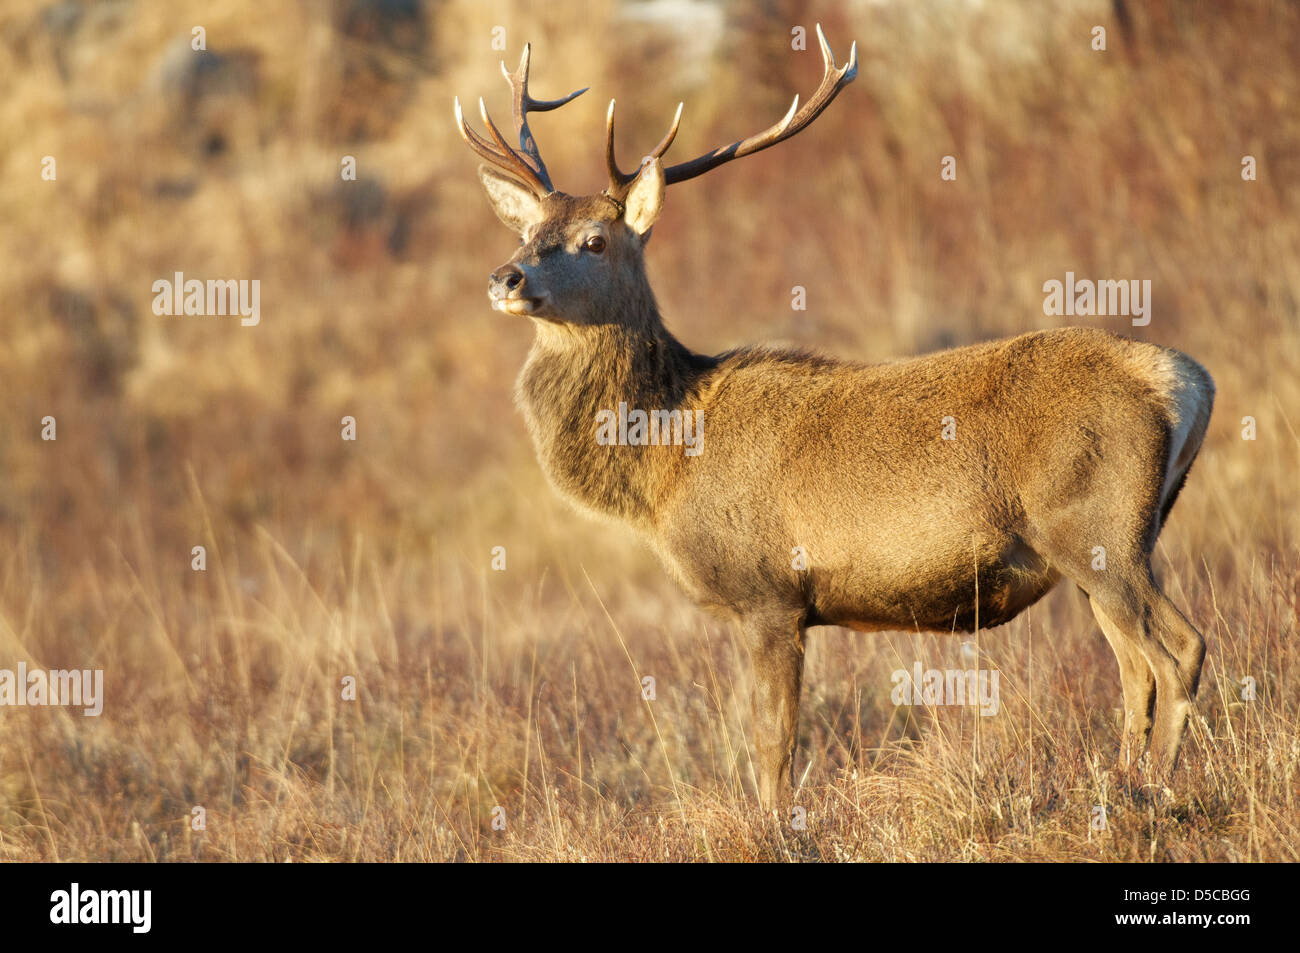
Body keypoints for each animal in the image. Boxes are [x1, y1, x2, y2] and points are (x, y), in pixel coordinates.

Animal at [453, 26, 1215, 807]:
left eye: (595, 242)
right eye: (529, 230)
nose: (505, 277)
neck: (665, 459)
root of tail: (1186, 381)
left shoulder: (769, 592)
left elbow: (772, 744)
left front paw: (772, 822)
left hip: (1096, 526)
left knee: (1179, 649)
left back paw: (1156, 790)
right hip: (1105, 547)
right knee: (1133, 666)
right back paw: (1121, 783)